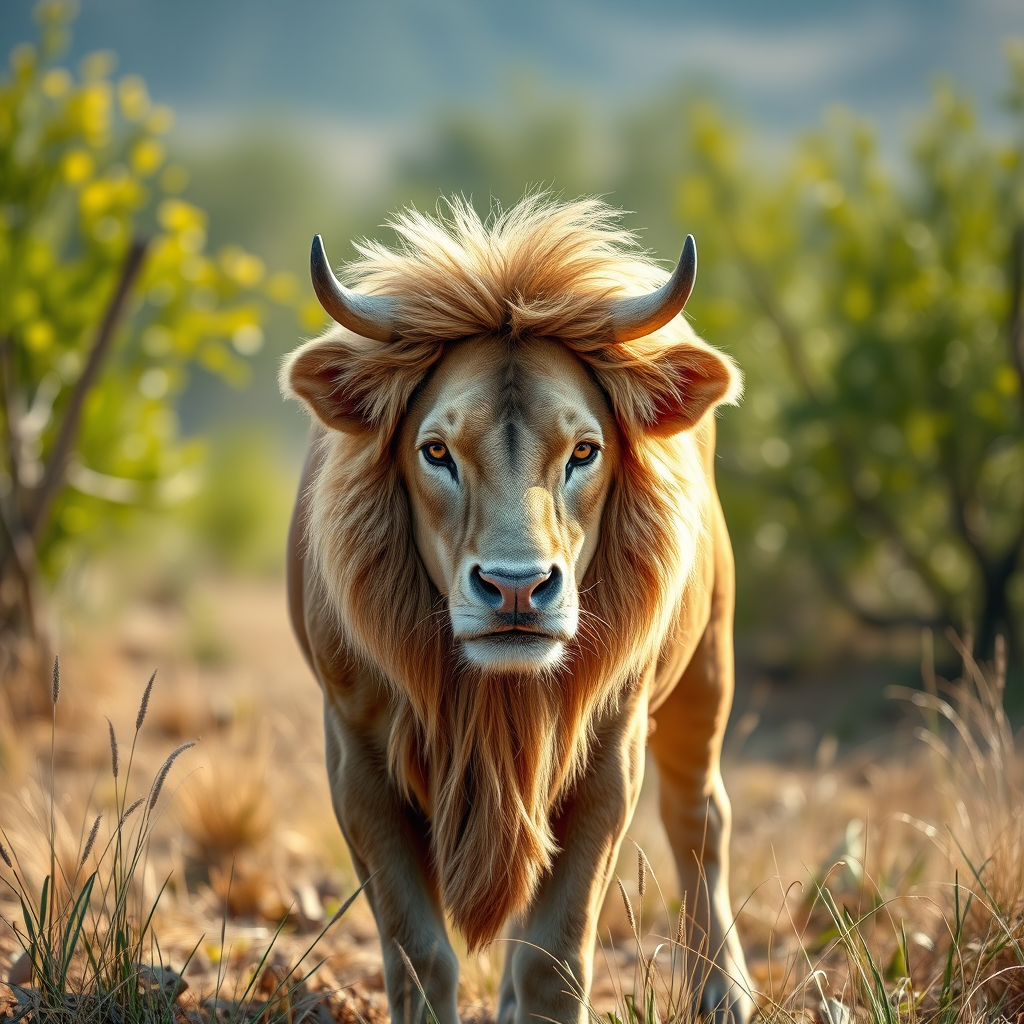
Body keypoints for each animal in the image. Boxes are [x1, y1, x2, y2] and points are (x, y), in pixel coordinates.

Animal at [282, 196, 753, 1024]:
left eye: (585, 452)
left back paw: (723, 991)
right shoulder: (358, 759)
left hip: (707, 664)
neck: (493, 699)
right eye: (437, 452)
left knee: (701, 820)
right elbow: (419, 953)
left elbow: (553, 960)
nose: (514, 588)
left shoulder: (608, 757)